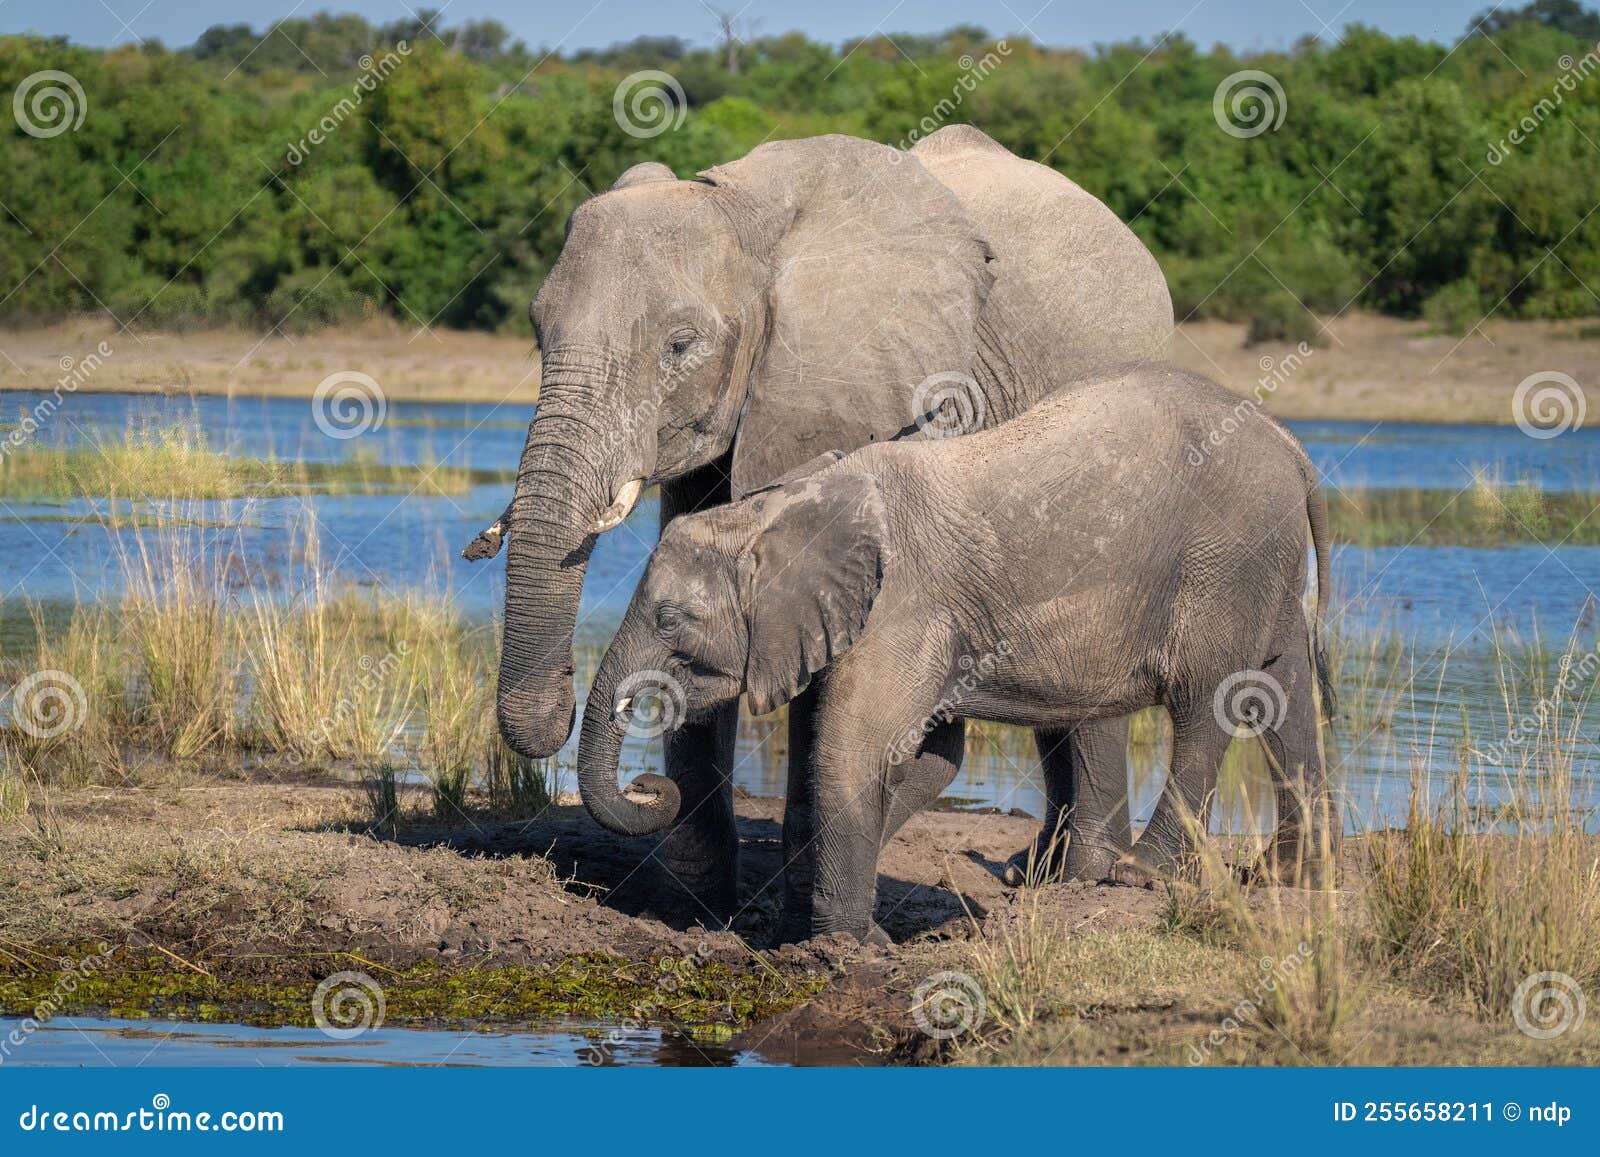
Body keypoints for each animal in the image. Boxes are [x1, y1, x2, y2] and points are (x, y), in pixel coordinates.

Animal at [465, 127, 1173, 927]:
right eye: (536, 330)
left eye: (680, 344)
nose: (645, 788)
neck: (742, 213)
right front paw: (693, 906)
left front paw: (799, 908)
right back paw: (1040, 874)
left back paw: (1080, 883)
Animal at [574, 366, 1339, 943]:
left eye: (672, 619)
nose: (649, 787)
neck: (776, 510)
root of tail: (1294, 448)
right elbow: (932, 753)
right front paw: (844, 926)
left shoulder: (903, 604)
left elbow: (854, 748)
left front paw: (839, 947)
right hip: (1264, 566)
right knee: (1283, 699)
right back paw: (1293, 877)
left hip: (1224, 563)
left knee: (1208, 705)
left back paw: (1143, 875)